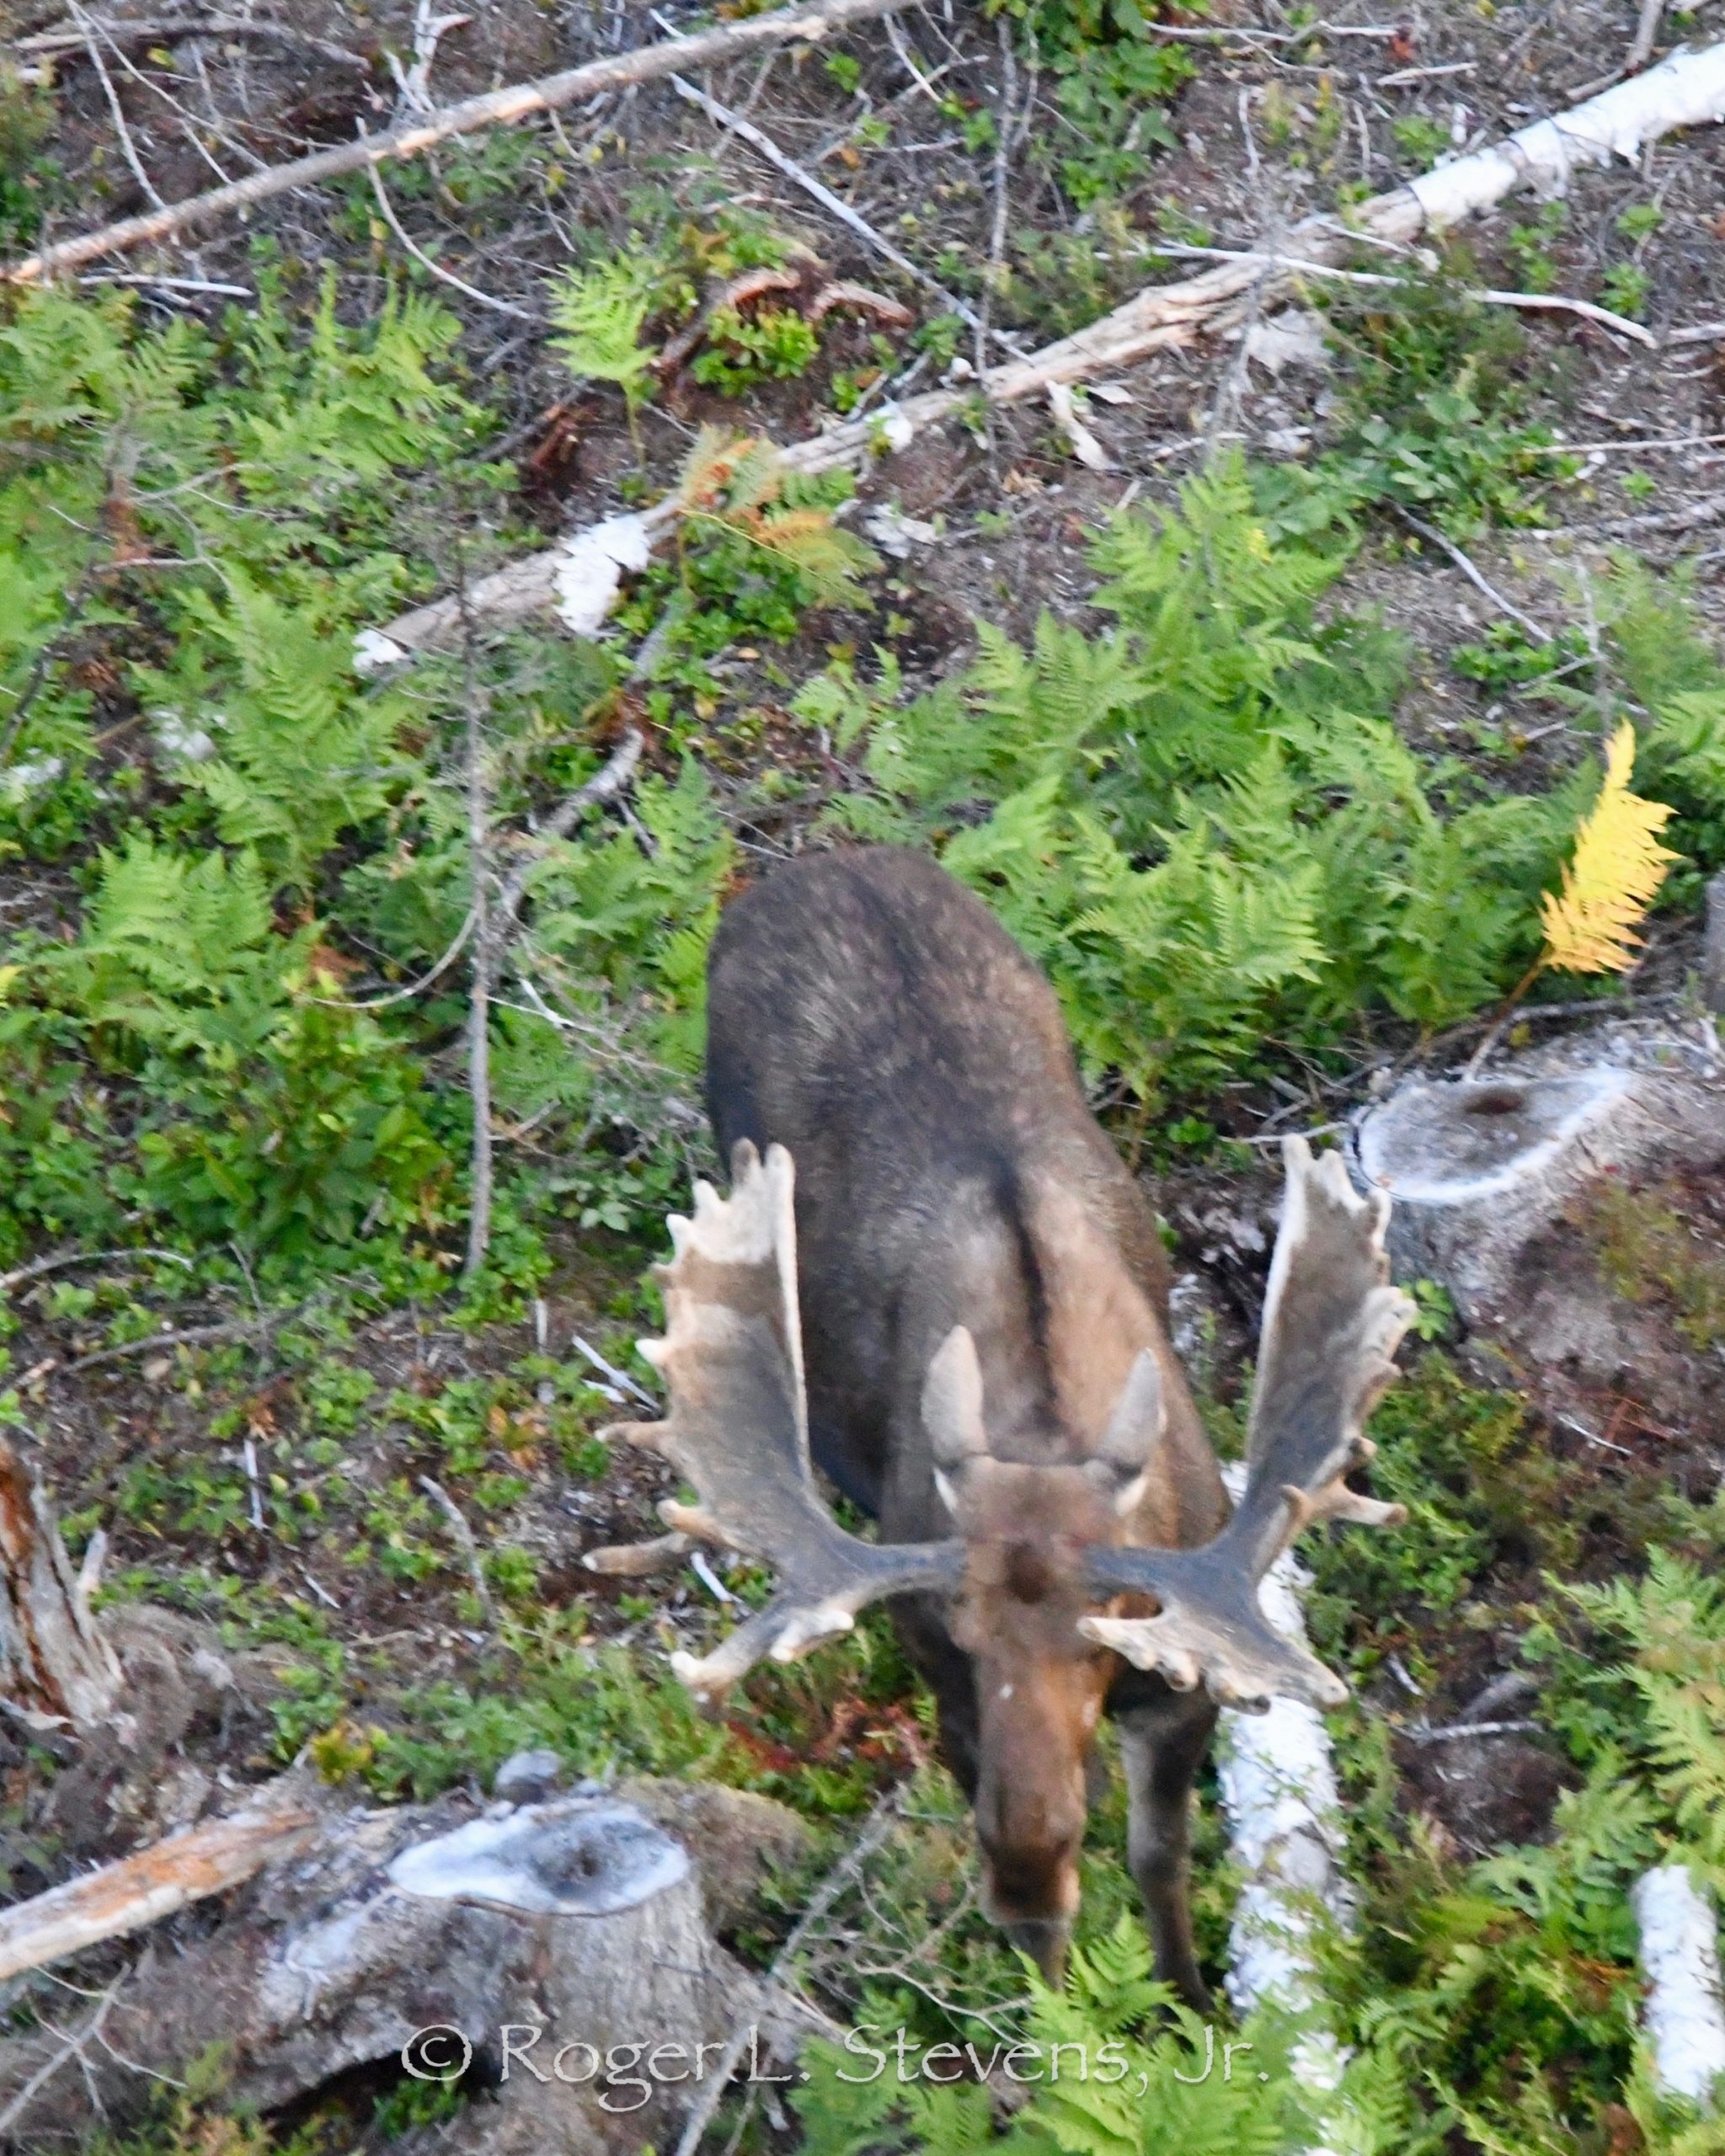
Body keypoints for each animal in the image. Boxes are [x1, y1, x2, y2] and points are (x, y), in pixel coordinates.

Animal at [587, 845, 1413, 2005]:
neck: (1041, 1425)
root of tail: (818, 860)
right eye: (959, 1630)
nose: (1024, 1859)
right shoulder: (940, 1671)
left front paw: (1186, 1999)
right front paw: (1057, 2017)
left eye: (1104, 1628)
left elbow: (1160, 1855)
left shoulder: (1181, 1686)